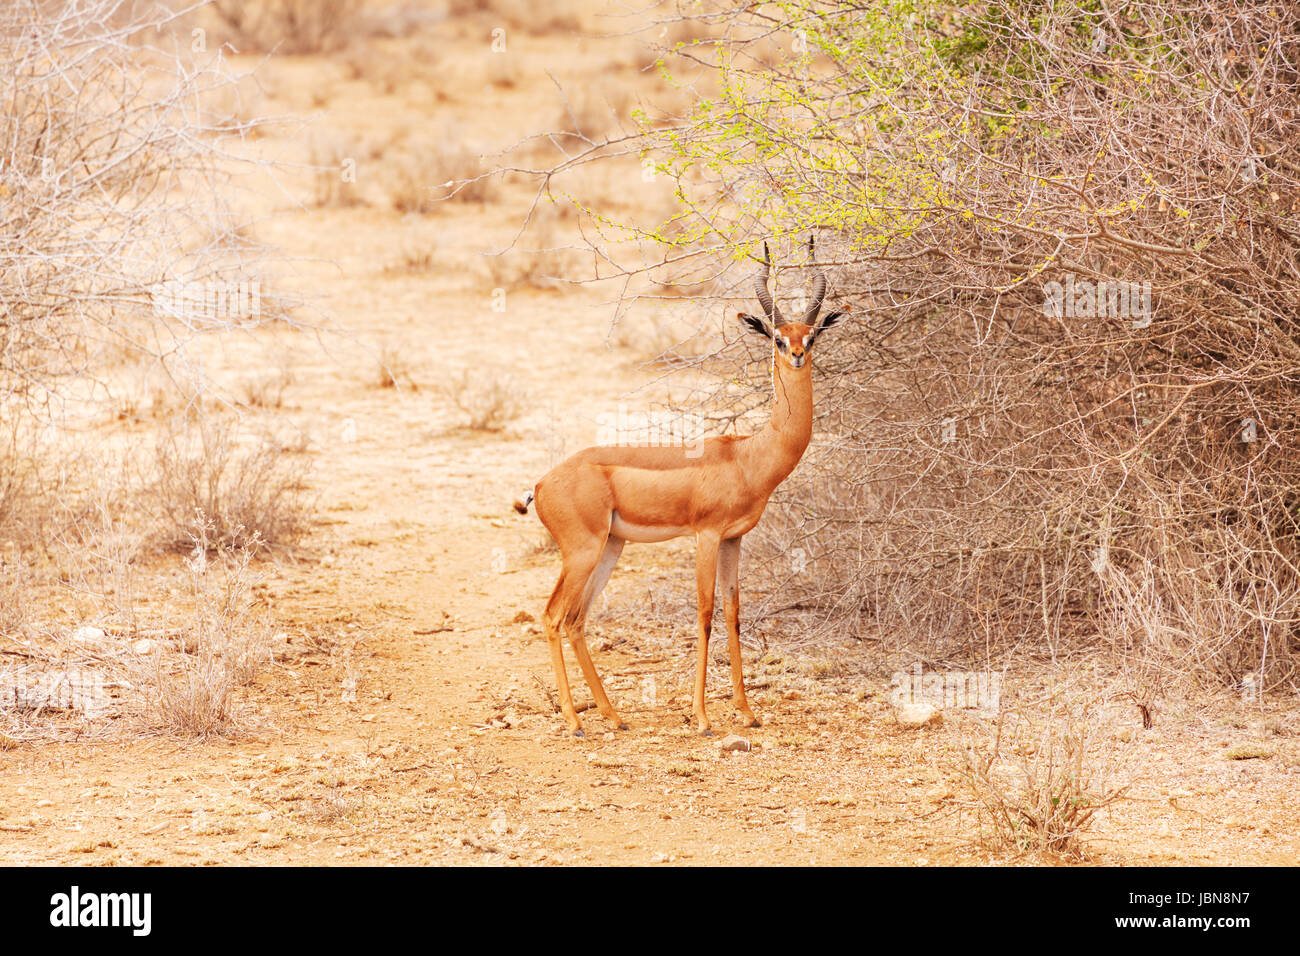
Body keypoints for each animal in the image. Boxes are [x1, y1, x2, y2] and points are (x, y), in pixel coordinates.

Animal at [514, 238, 848, 736]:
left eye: (811, 335)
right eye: (777, 336)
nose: (797, 357)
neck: (749, 456)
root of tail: (541, 483)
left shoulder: (733, 539)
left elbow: (732, 612)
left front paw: (747, 712)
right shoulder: (705, 536)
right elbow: (705, 614)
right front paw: (704, 717)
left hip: (609, 548)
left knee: (576, 619)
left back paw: (614, 716)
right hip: (581, 552)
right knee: (553, 616)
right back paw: (575, 721)